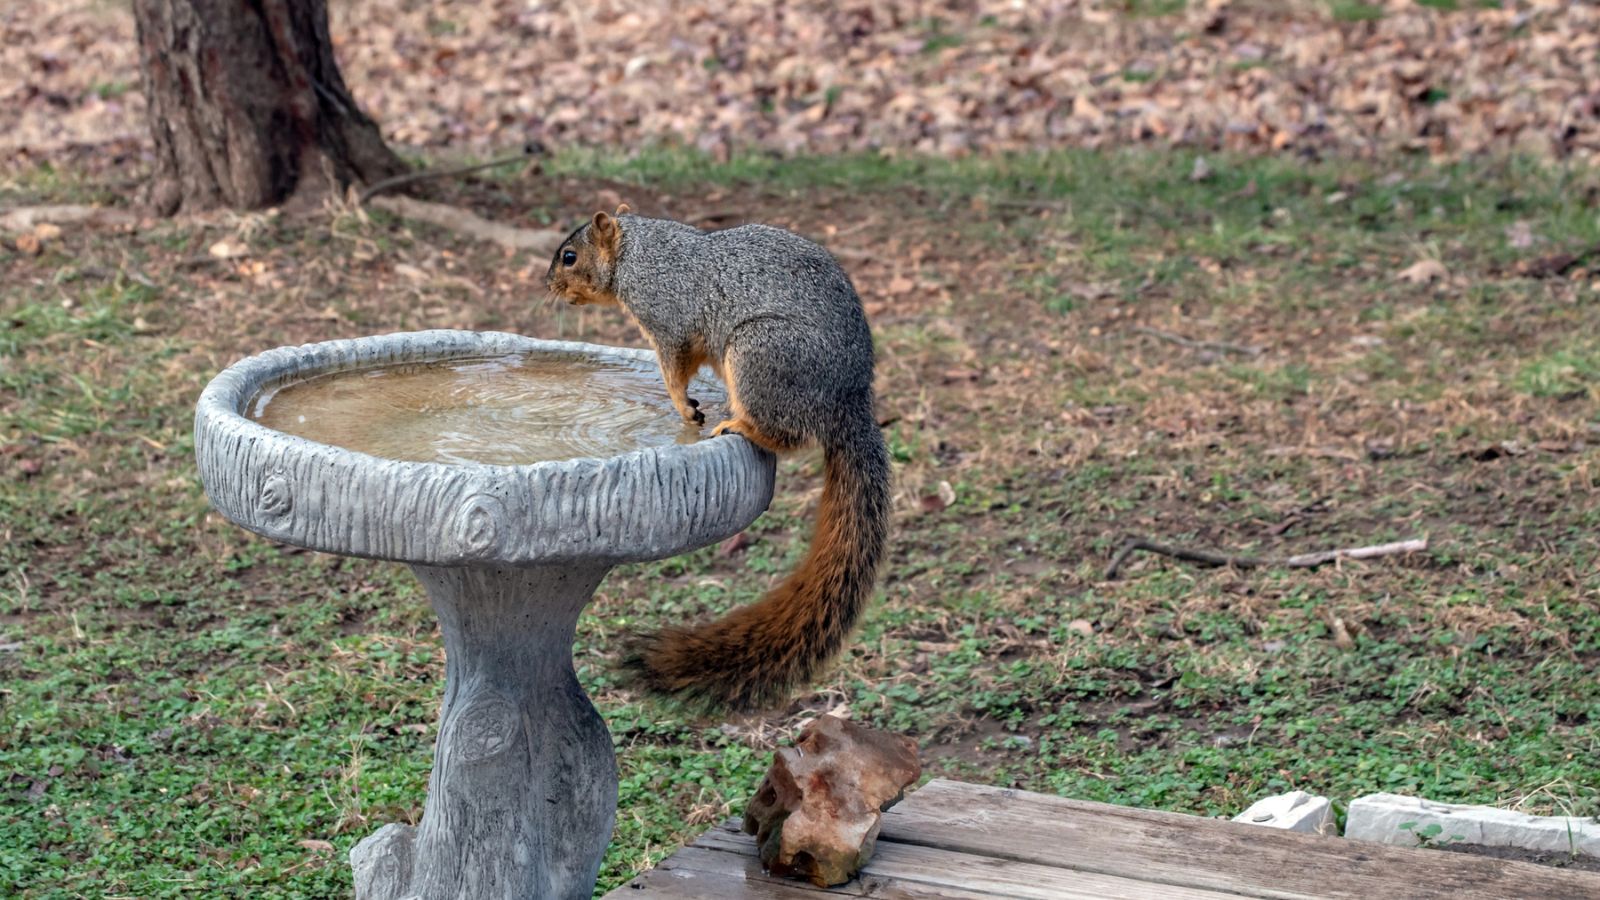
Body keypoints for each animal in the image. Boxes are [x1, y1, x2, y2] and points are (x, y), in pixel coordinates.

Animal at [545, 205, 890, 711]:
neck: (636, 254)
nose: (547, 285)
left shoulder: (670, 319)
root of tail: (850, 402)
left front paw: (683, 406)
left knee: (787, 434)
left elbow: (674, 369)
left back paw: (740, 425)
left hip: (760, 353)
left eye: (569, 256)